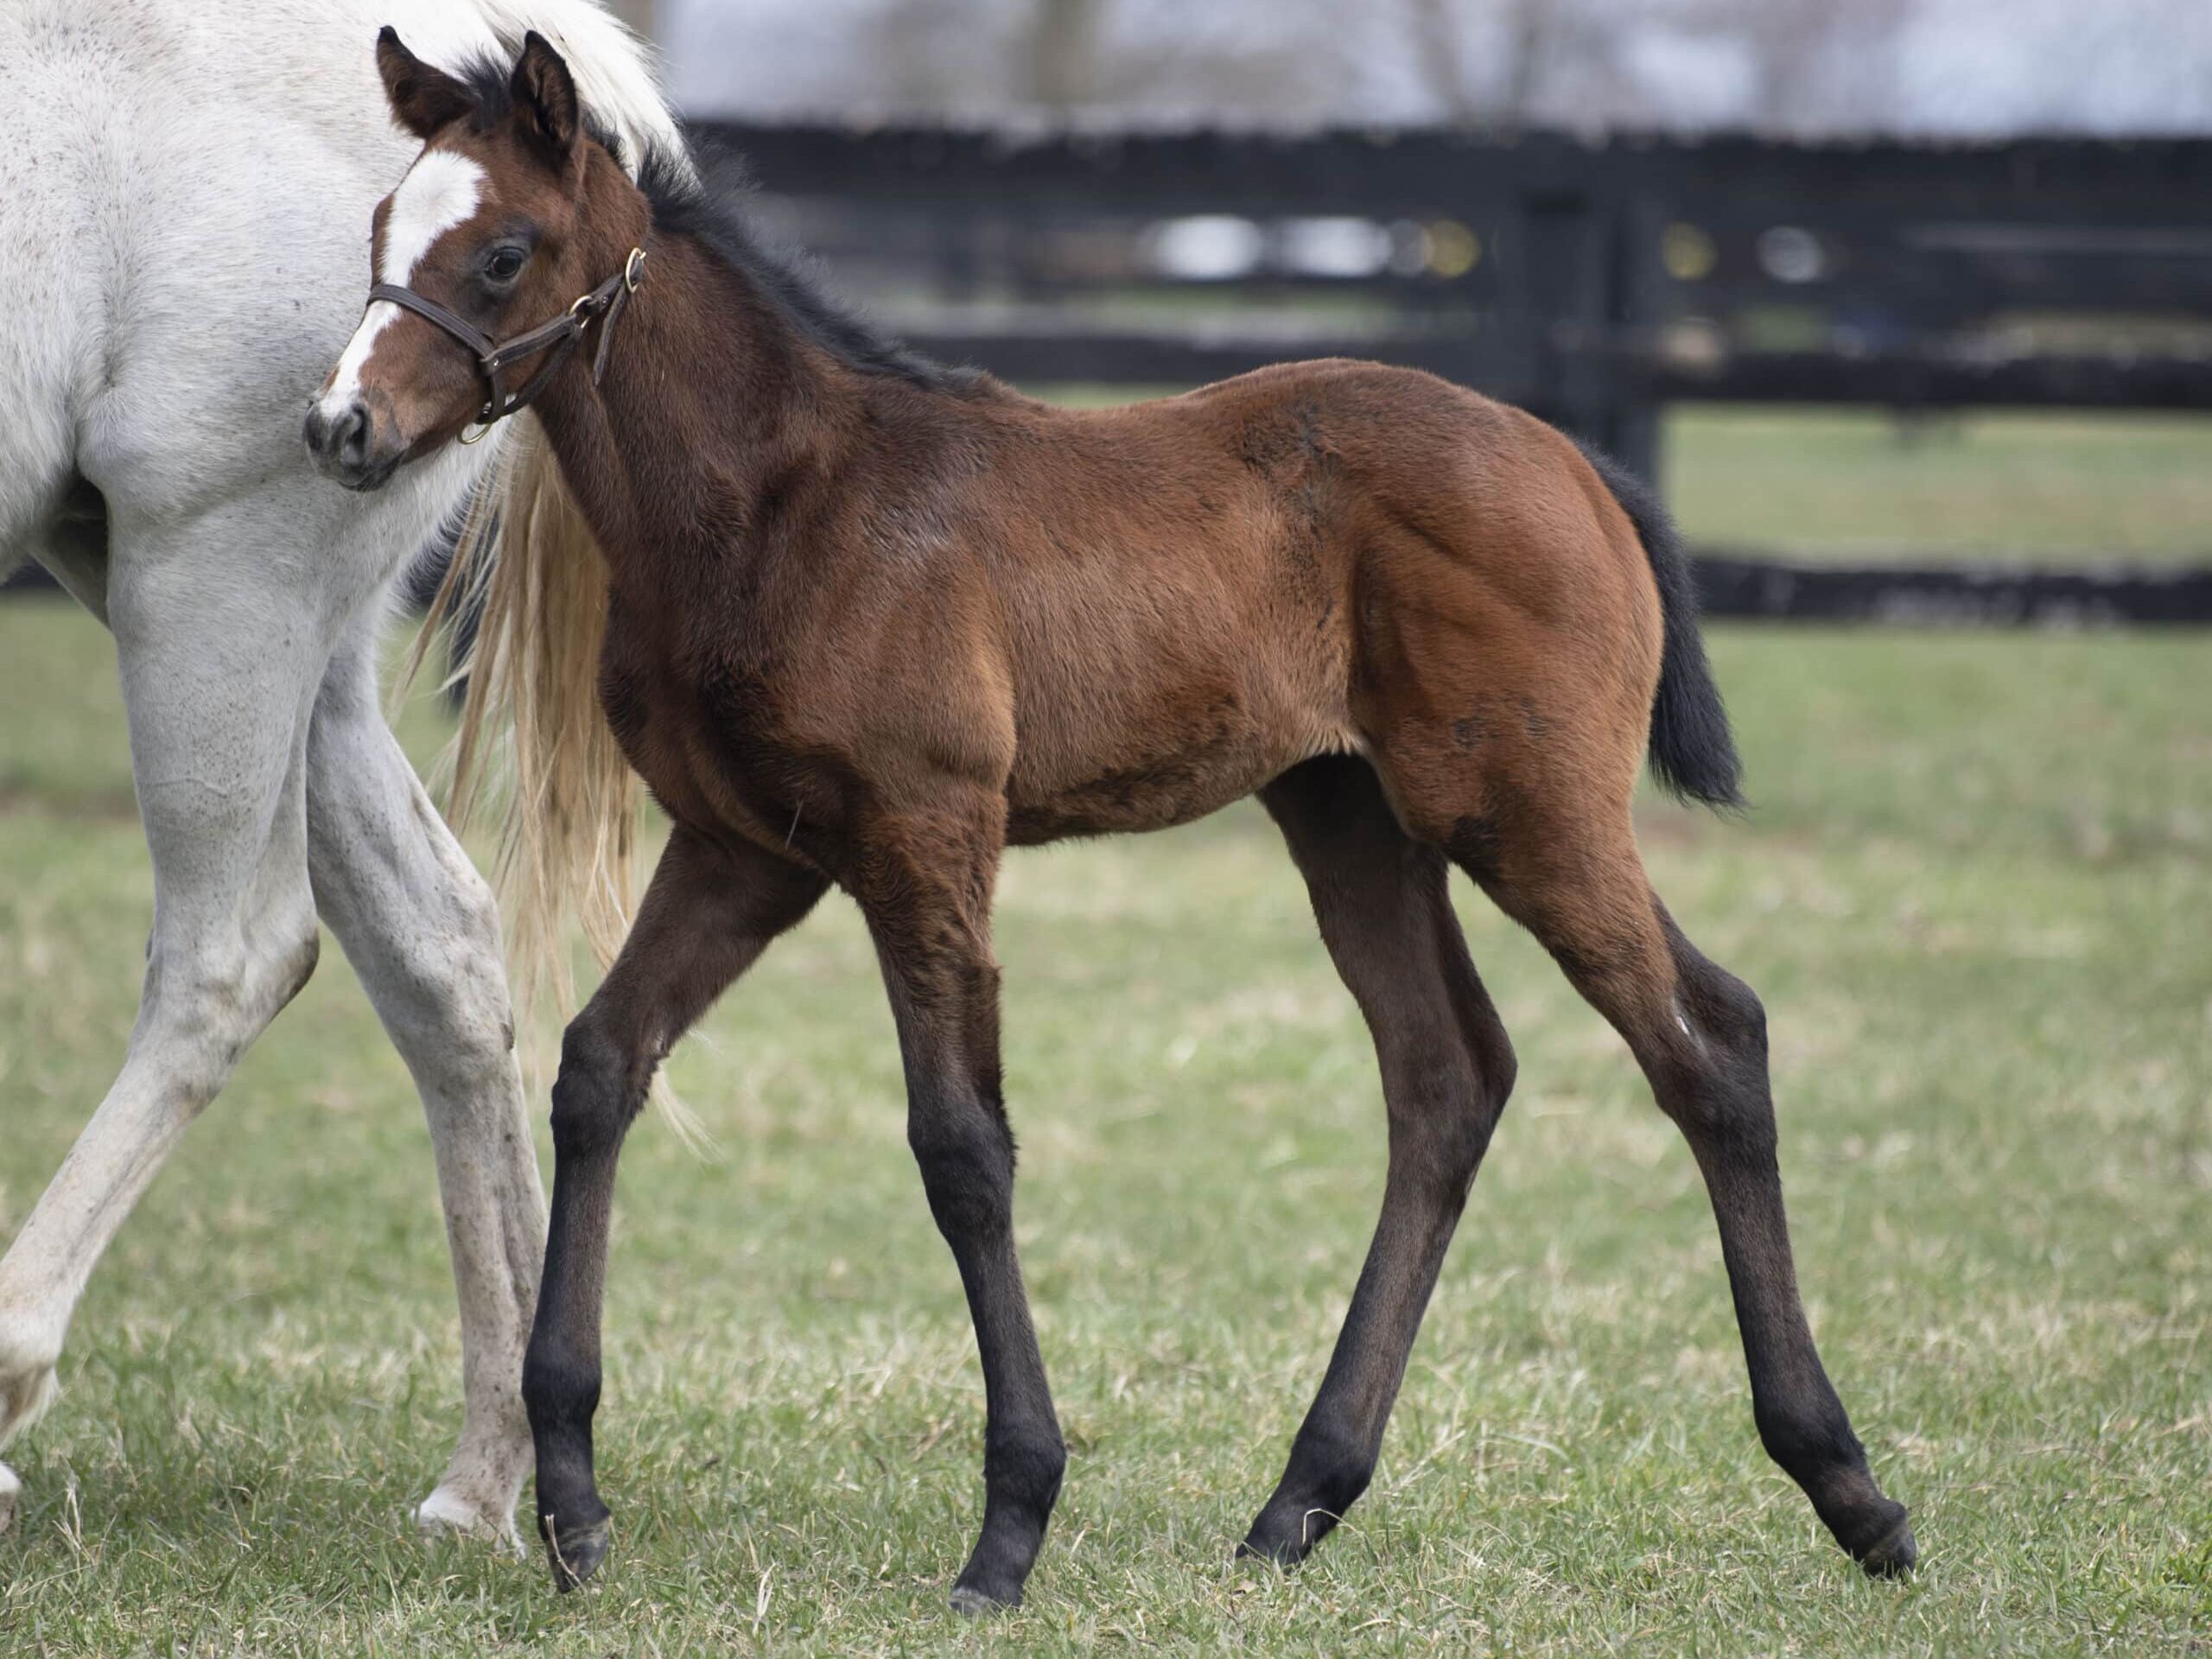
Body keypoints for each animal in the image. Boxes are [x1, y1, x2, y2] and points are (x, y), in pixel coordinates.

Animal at [313, 33, 1918, 1609]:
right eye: (382, 226)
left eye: (505, 252)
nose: (341, 425)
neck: (782, 506)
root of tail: (1579, 463)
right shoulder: (747, 853)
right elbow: (599, 1067)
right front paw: (572, 1506)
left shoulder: (925, 838)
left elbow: (964, 1147)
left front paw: (1008, 1531)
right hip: (1353, 818)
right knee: (1449, 1075)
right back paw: (1297, 1504)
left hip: (1526, 809)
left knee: (1708, 1043)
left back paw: (1852, 1492)